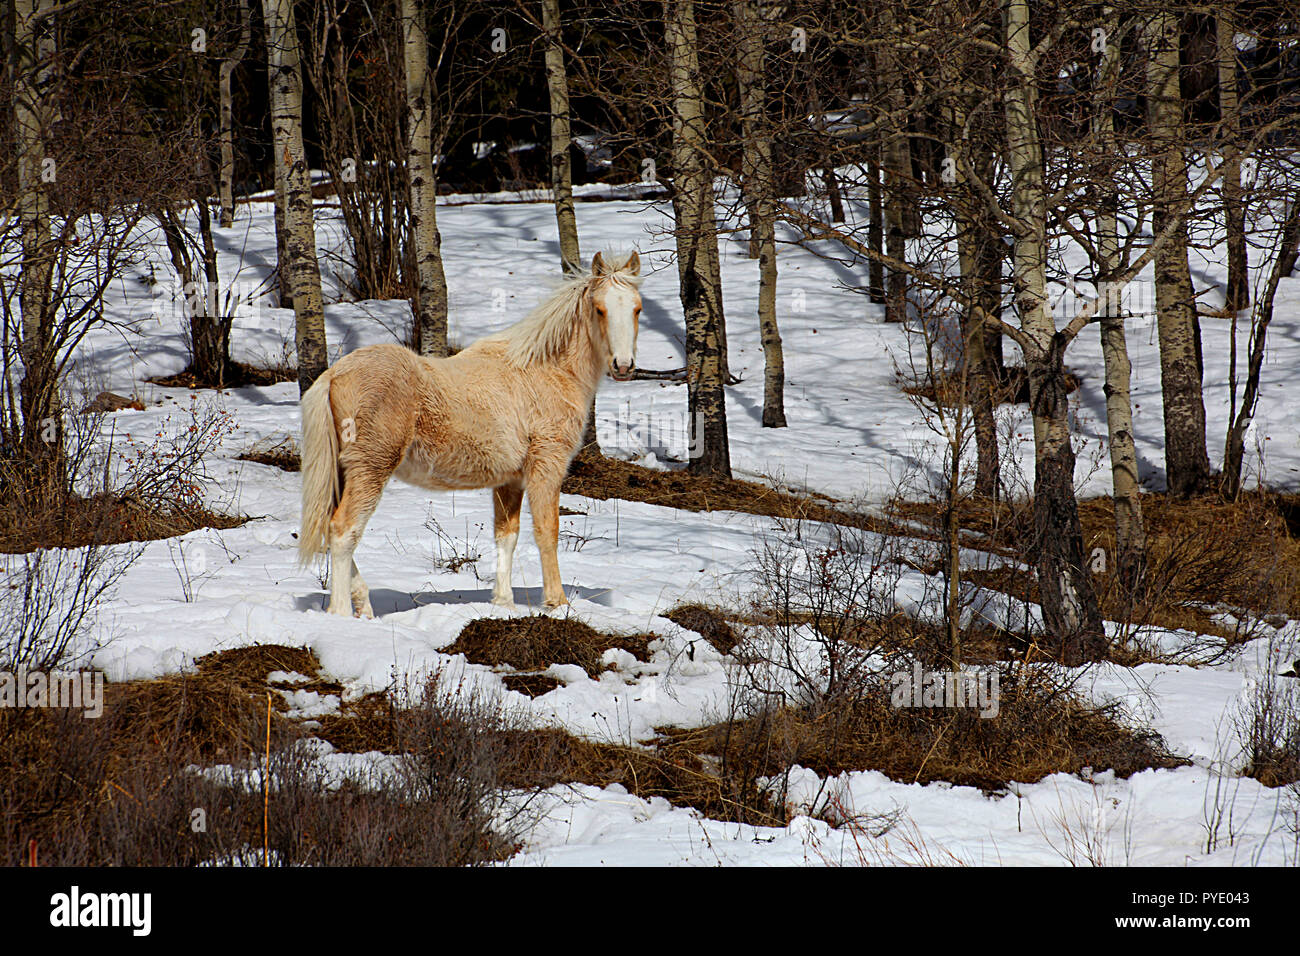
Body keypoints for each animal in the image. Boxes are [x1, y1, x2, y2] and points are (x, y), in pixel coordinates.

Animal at [297, 250, 643, 616]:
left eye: (637, 308)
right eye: (600, 309)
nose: (623, 366)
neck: (545, 370)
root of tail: (335, 374)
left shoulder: (510, 481)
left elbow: (507, 535)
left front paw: (503, 603)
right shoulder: (546, 467)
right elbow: (546, 531)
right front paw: (557, 603)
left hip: (345, 473)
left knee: (333, 528)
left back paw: (362, 603)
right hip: (371, 468)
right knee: (343, 531)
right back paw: (342, 613)